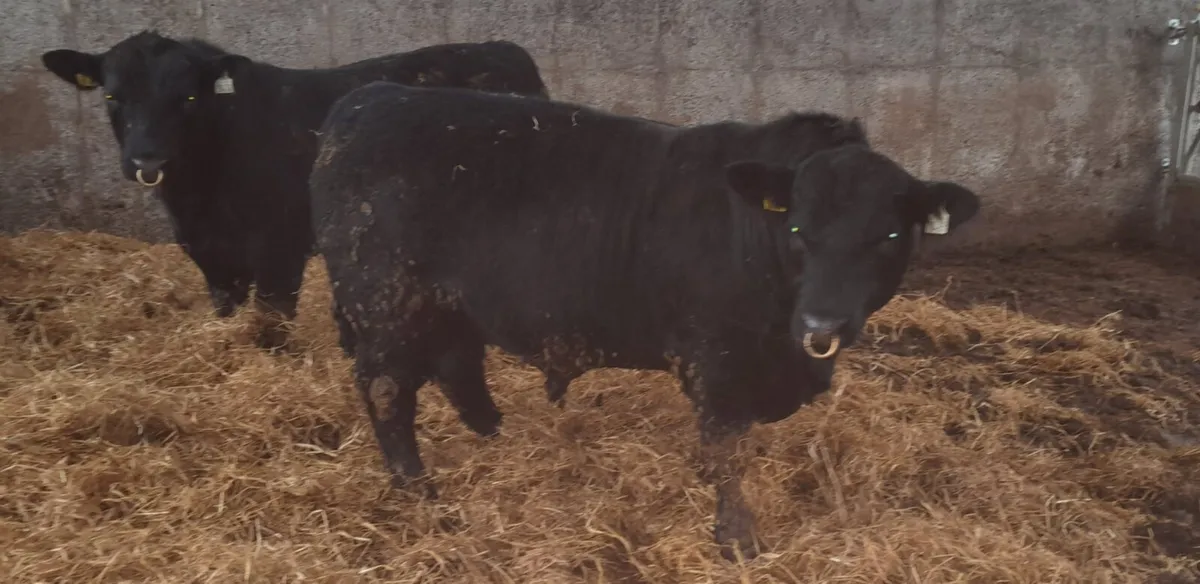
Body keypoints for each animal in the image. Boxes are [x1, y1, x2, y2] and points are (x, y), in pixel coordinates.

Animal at [40, 31, 551, 349]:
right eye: (112, 96)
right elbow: (229, 310)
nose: (148, 161)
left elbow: (273, 319)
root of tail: (502, 49)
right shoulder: (210, 254)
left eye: (187, 97)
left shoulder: (278, 247)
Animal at [307, 81, 981, 561]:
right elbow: (726, 449)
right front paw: (737, 538)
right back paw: (419, 493)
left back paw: (494, 435)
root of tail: (369, 98)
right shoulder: (718, 357)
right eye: (796, 227)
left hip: (450, 306)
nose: (823, 322)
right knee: (388, 390)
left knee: (455, 367)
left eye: (888, 236)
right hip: (389, 305)